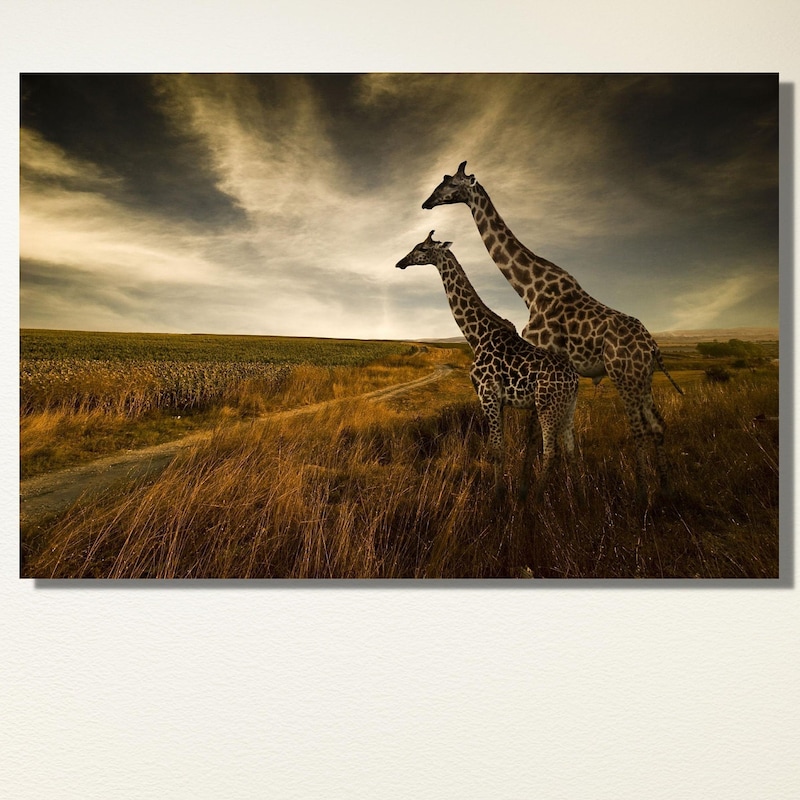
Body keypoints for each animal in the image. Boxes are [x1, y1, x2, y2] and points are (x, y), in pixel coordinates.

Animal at [396, 231, 579, 501]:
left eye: (422, 248)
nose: (401, 262)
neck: (476, 336)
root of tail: (575, 380)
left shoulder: (488, 395)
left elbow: (496, 449)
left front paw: (497, 496)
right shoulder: (498, 400)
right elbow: (498, 447)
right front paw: (500, 491)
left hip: (548, 406)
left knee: (551, 452)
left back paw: (537, 496)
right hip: (567, 408)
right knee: (571, 451)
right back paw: (576, 493)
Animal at [422, 161, 683, 500]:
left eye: (450, 183)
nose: (427, 203)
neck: (529, 288)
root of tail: (653, 347)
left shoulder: (543, 354)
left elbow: (534, 434)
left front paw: (526, 489)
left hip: (623, 375)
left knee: (637, 427)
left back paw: (642, 491)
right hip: (642, 378)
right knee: (657, 425)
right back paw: (665, 488)